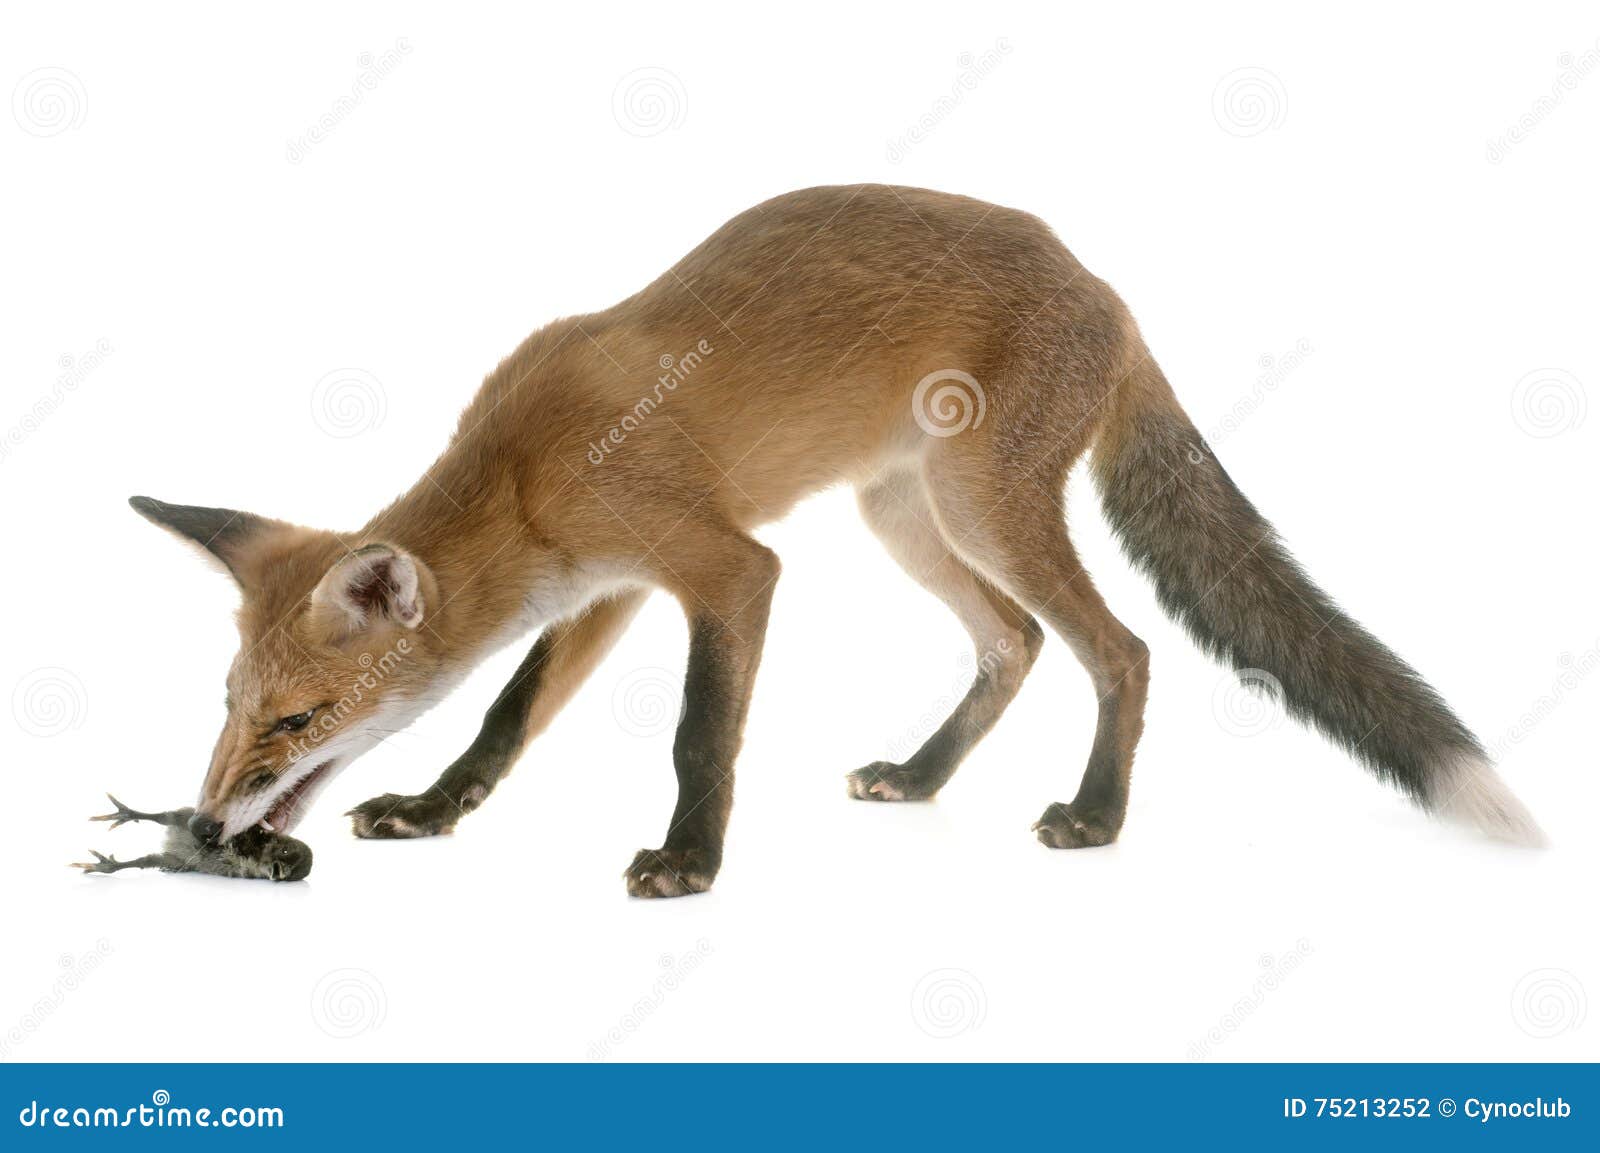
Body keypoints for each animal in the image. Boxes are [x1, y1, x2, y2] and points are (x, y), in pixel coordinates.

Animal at [128, 184, 1543, 898]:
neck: (526, 481)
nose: (200, 822)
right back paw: (919, 779)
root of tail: (1107, 287)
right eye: (228, 704)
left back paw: (1095, 818)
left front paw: (690, 861)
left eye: (296, 719)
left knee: (1121, 650)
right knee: (1016, 645)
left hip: (982, 505)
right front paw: (432, 810)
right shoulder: (611, 589)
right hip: (903, 518)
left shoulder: (723, 568)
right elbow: (506, 718)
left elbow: (701, 734)